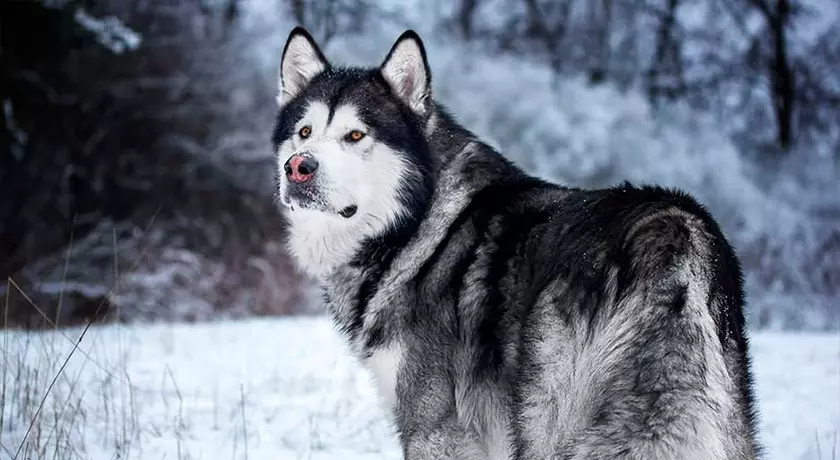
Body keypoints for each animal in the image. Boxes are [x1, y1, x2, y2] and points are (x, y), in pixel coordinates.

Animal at [270, 27, 760, 458]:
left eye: (355, 135)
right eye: (304, 132)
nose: (299, 167)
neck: (416, 224)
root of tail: (671, 230)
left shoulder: (433, 429)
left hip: (544, 422)